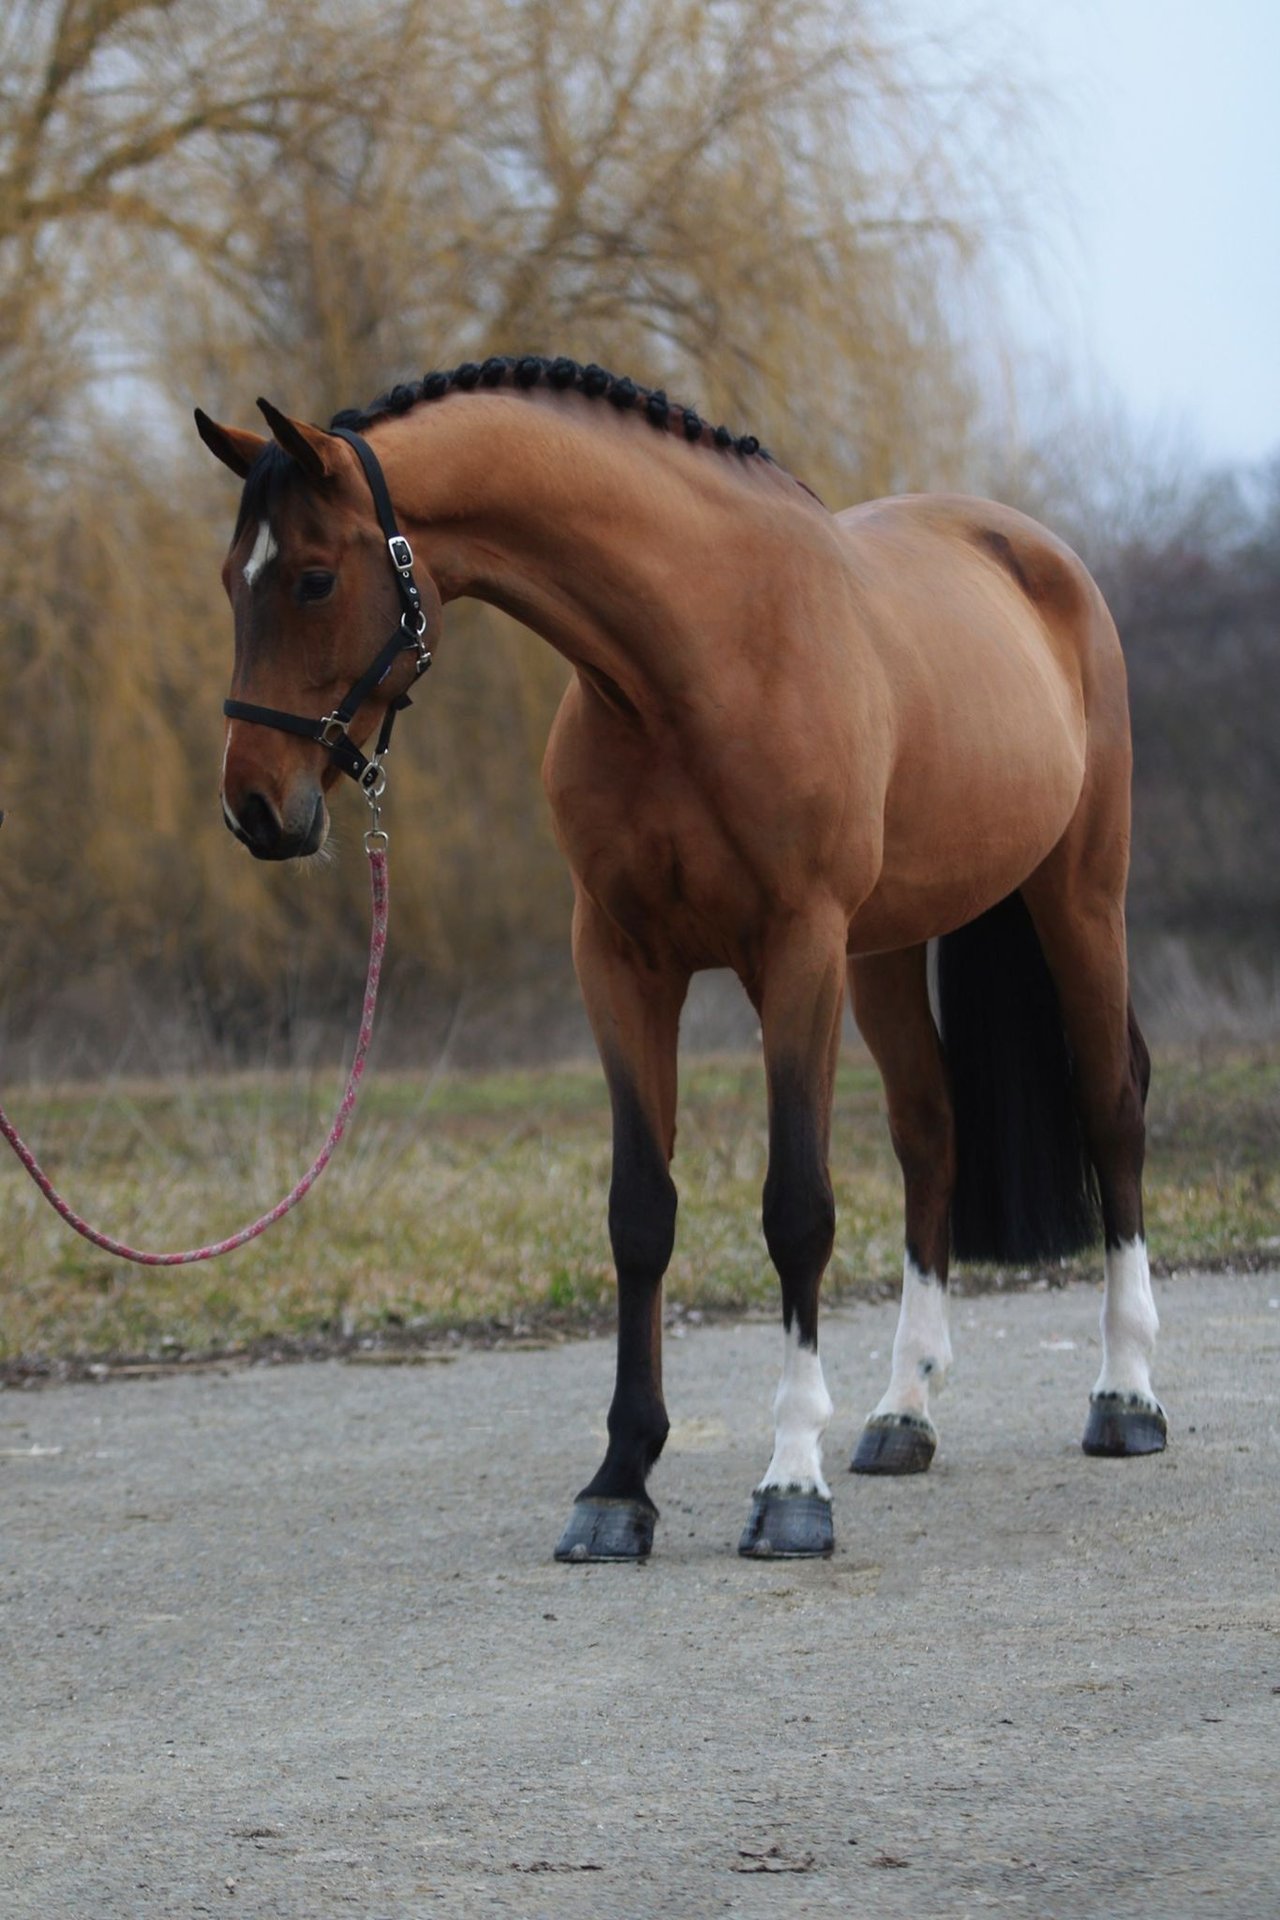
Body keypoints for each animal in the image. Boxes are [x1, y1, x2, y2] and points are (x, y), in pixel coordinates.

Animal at [195, 354, 1165, 1563]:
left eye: (316, 580)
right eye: (233, 580)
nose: (253, 808)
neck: (695, 660)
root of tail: (1040, 557)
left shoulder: (795, 952)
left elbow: (796, 1208)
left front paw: (790, 1486)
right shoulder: (621, 963)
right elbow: (639, 1213)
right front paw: (619, 1485)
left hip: (1075, 896)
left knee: (1109, 1103)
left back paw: (1125, 1395)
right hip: (889, 951)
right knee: (930, 1133)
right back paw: (901, 1415)